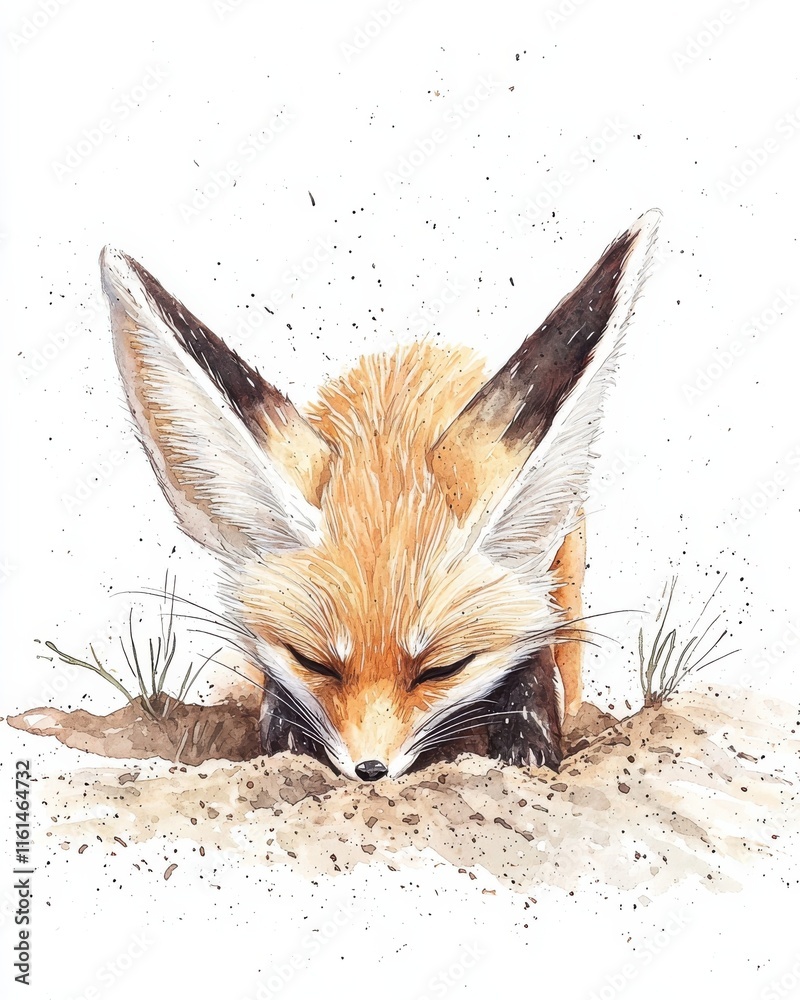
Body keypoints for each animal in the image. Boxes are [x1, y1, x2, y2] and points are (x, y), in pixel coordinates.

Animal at [99, 208, 659, 782]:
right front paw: (287, 749)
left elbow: (532, 666)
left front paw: (527, 750)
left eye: (444, 668)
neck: (391, 426)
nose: (370, 770)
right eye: (313, 661)